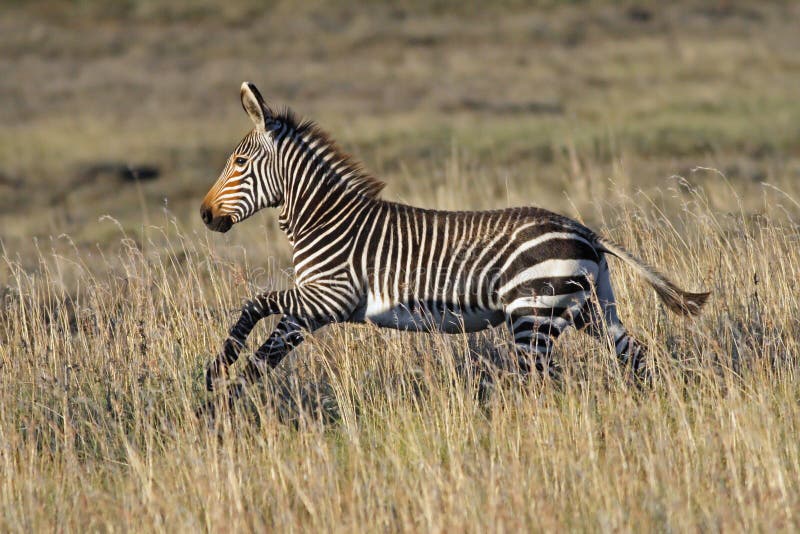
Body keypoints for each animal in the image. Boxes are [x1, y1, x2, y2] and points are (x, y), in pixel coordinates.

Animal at [200, 82, 709, 397]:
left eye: (239, 163)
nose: (205, 215)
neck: (327, 220)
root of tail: (586, 231)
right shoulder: (310, 307)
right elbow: (267, 353)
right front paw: (221, 399)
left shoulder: (330, 296)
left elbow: (254, 305)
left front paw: (216, 370)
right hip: (589, 309)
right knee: (633, 355)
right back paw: (650, 405)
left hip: (533, 314)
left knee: (542, 381)